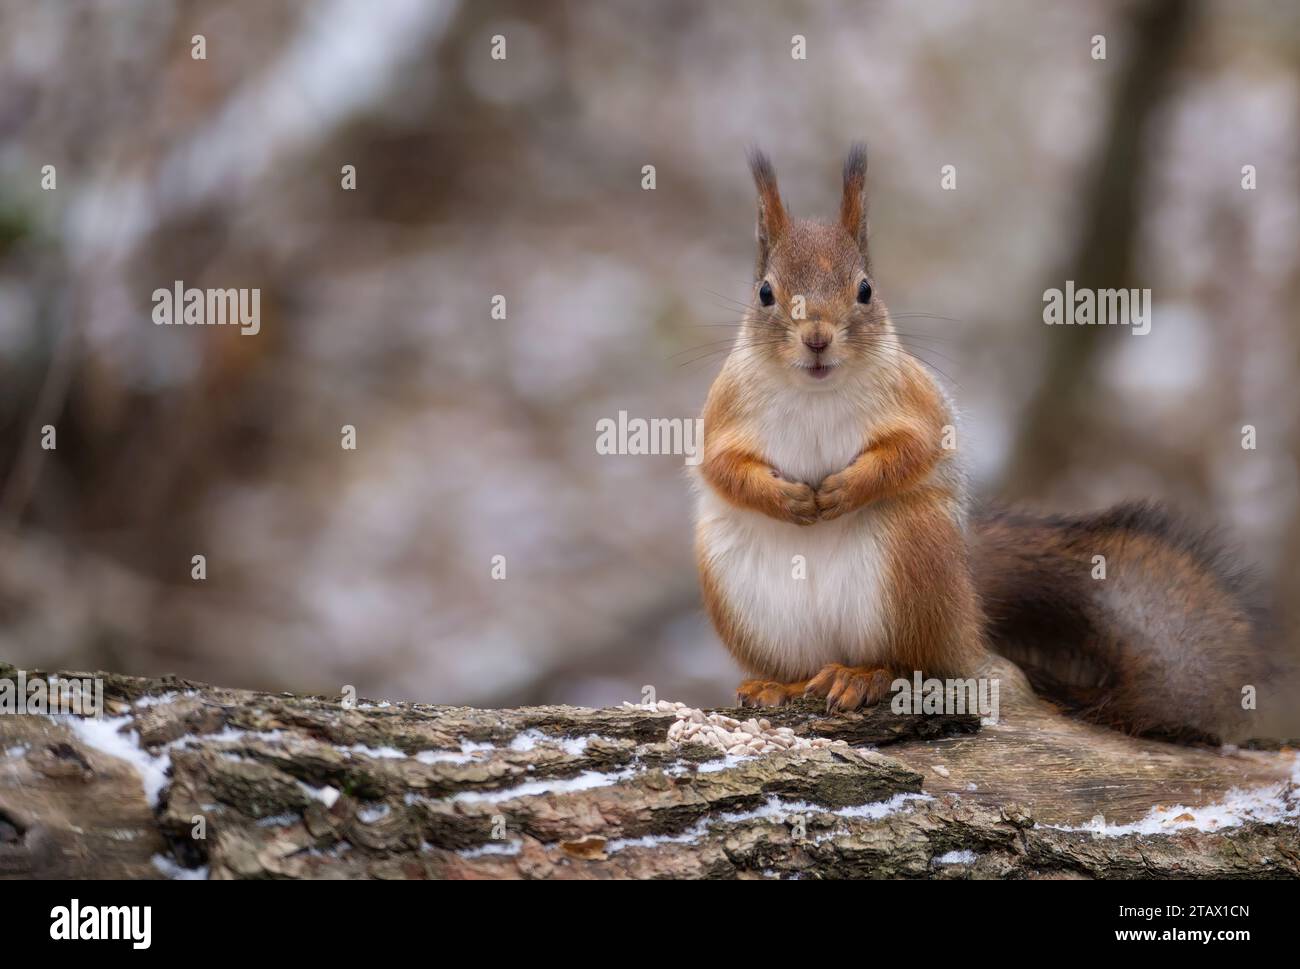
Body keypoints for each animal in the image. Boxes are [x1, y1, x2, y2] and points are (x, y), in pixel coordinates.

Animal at [692, 144, 1272, 744]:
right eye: (765, 293)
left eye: (866, 290)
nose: (817, 339)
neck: (814, 389)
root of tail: (969, 613)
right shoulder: (724, 411)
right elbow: (722, 466)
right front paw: (786, 498)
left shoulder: (919, 405)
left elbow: (913, 451)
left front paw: (846, 488)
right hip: (743, 591)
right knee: (800, 666)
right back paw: (777, 684)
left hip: (913, 558)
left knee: (915, 663)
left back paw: (865, 675)